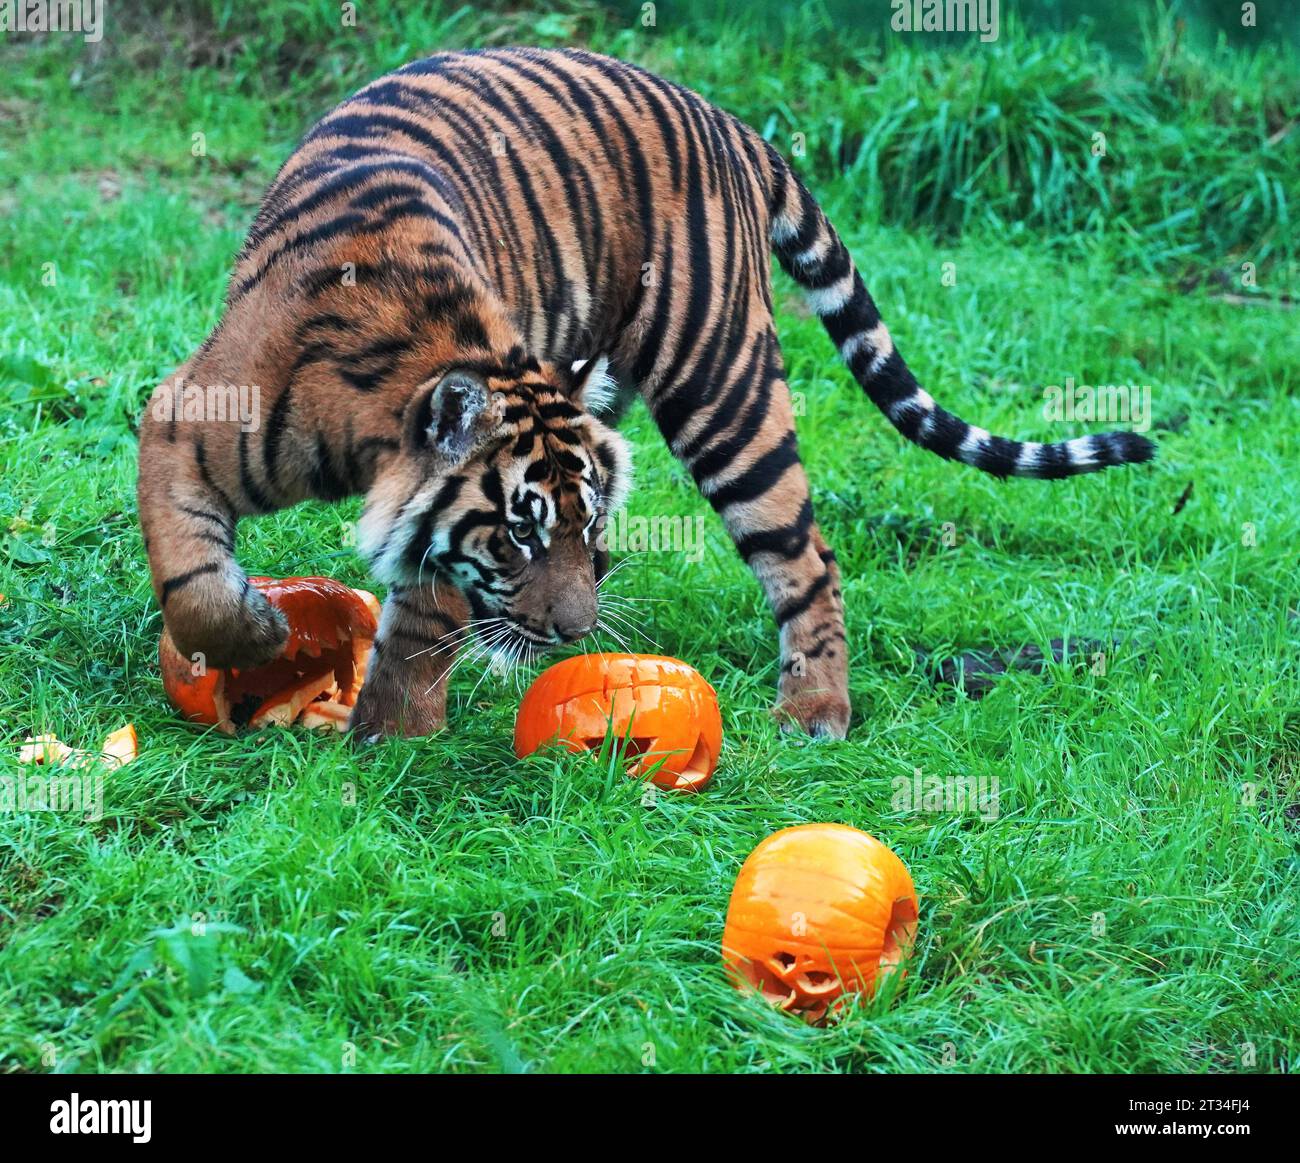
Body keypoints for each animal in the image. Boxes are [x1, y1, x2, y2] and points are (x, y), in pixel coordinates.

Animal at [137, 47, 1155, 741]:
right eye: (519, 533)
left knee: (809, 557)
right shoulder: (184, 416)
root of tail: (724, 116)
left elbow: (418, 630)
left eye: (568, 523)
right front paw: (261, 635)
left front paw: (385, 746)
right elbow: (193, 582)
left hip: (725, 390)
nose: (573, 631)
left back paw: (813, 709)